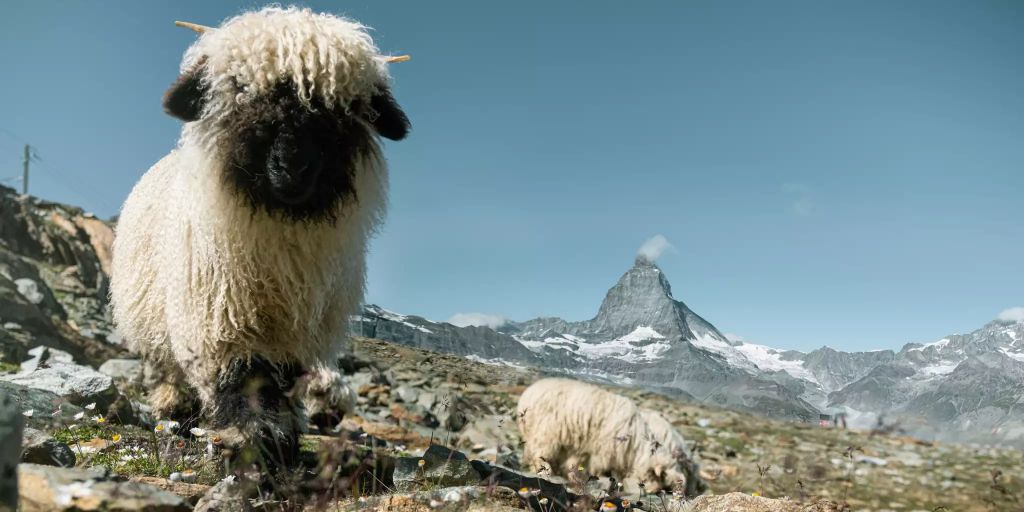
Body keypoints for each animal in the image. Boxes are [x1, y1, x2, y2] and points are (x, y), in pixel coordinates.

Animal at [109, 6, 409, 467]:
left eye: (345, 107)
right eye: (241, 92)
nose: (293, 166)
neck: (278, 232)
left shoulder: (293, 328)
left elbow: (279, 380)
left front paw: (282, 438)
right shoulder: (221, 317)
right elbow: (244, 377)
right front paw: (249, 437)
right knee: (170, 369)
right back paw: (176, 415)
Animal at [516, 378, 693, 493]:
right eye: (661, 475)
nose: (653, 491)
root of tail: (528, 393)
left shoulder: (583, 448)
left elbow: (574, 464)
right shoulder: (603, 451)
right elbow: (595, 467)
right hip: (546, 432)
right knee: (540, 453)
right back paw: (545, 471)